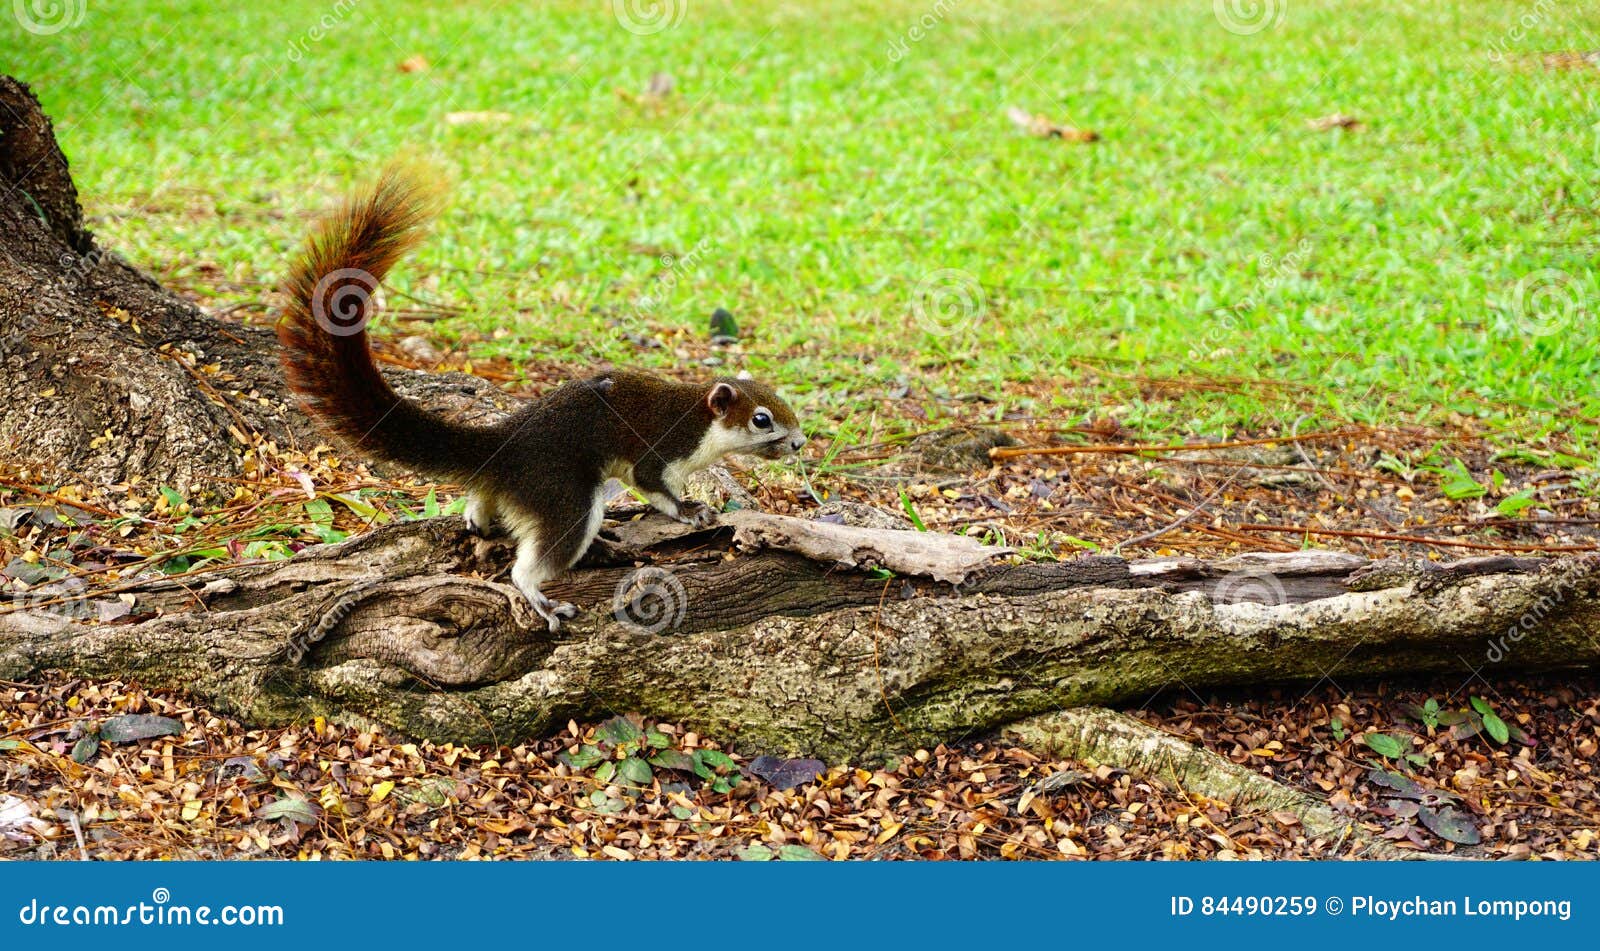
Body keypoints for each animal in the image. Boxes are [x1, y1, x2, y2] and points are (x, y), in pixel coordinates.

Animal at [277, 169, 806, 631]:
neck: (700, 419)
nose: (799, 443)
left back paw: (481, 519)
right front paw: (690, 510)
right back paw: (542, 598)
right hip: (563, 493)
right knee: (534, 558)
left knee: (484, 500)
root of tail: (506, 445)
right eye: (762, 420)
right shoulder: (662, 449)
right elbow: (654, 486)